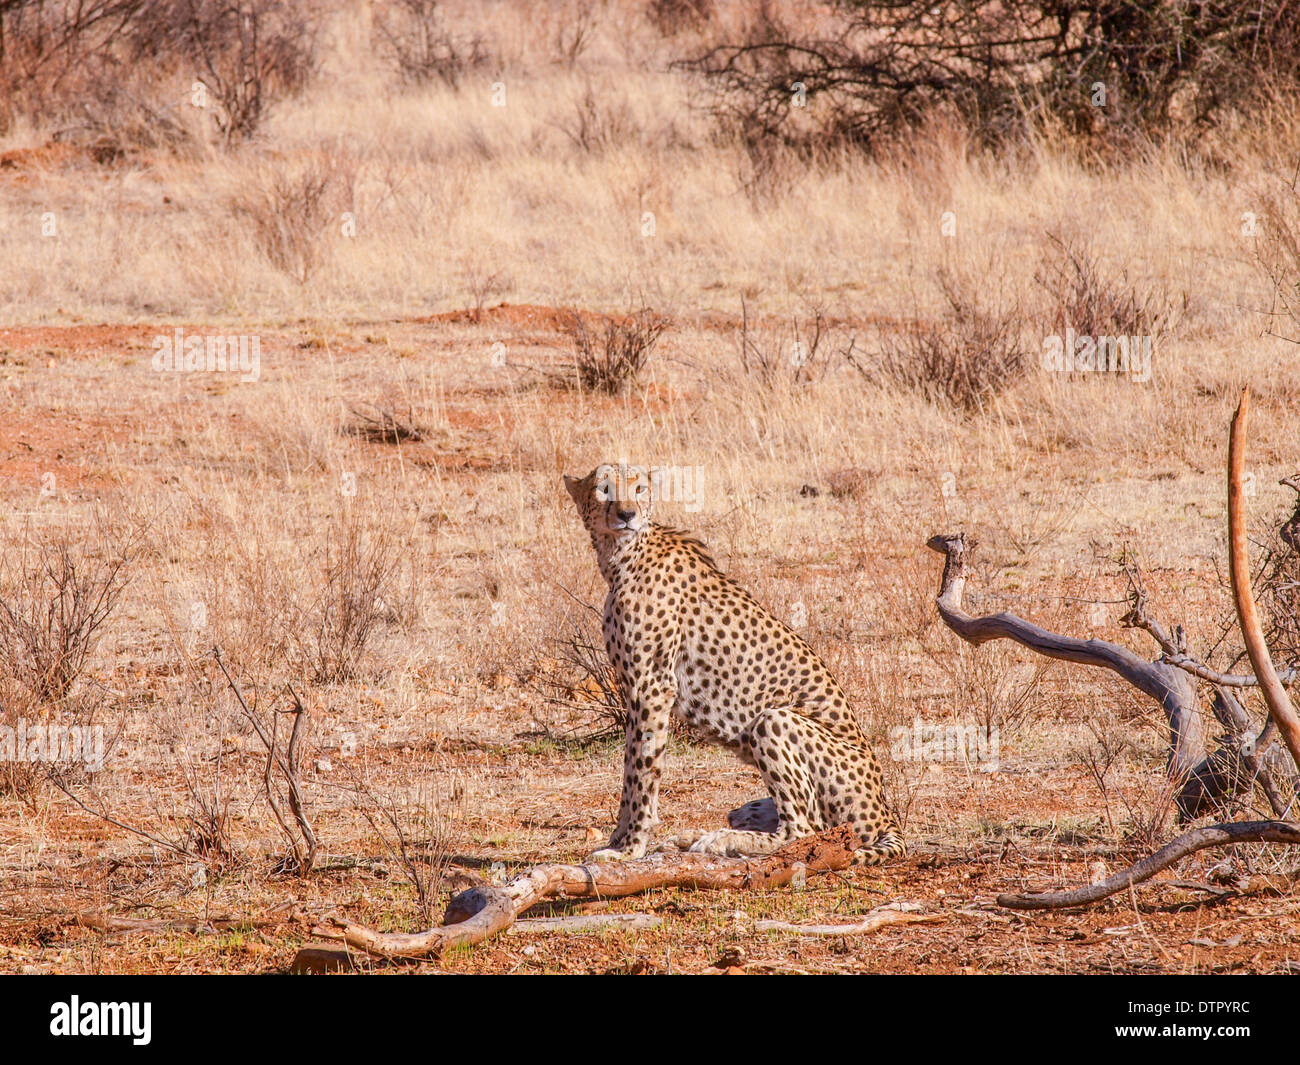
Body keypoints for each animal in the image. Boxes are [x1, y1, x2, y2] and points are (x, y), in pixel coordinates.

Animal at [564, 461, 904, 864]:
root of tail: (886, 813)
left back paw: (721, 841)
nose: (627, 514)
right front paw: (619, 839)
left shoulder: (652, 688)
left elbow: (640, 772)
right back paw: (695, 836)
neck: (621, 553)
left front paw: (630, 846)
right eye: (603, 489)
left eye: (640, 488)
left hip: (775, 719)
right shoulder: (638, 687)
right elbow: (632, 770)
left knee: (803, 830)